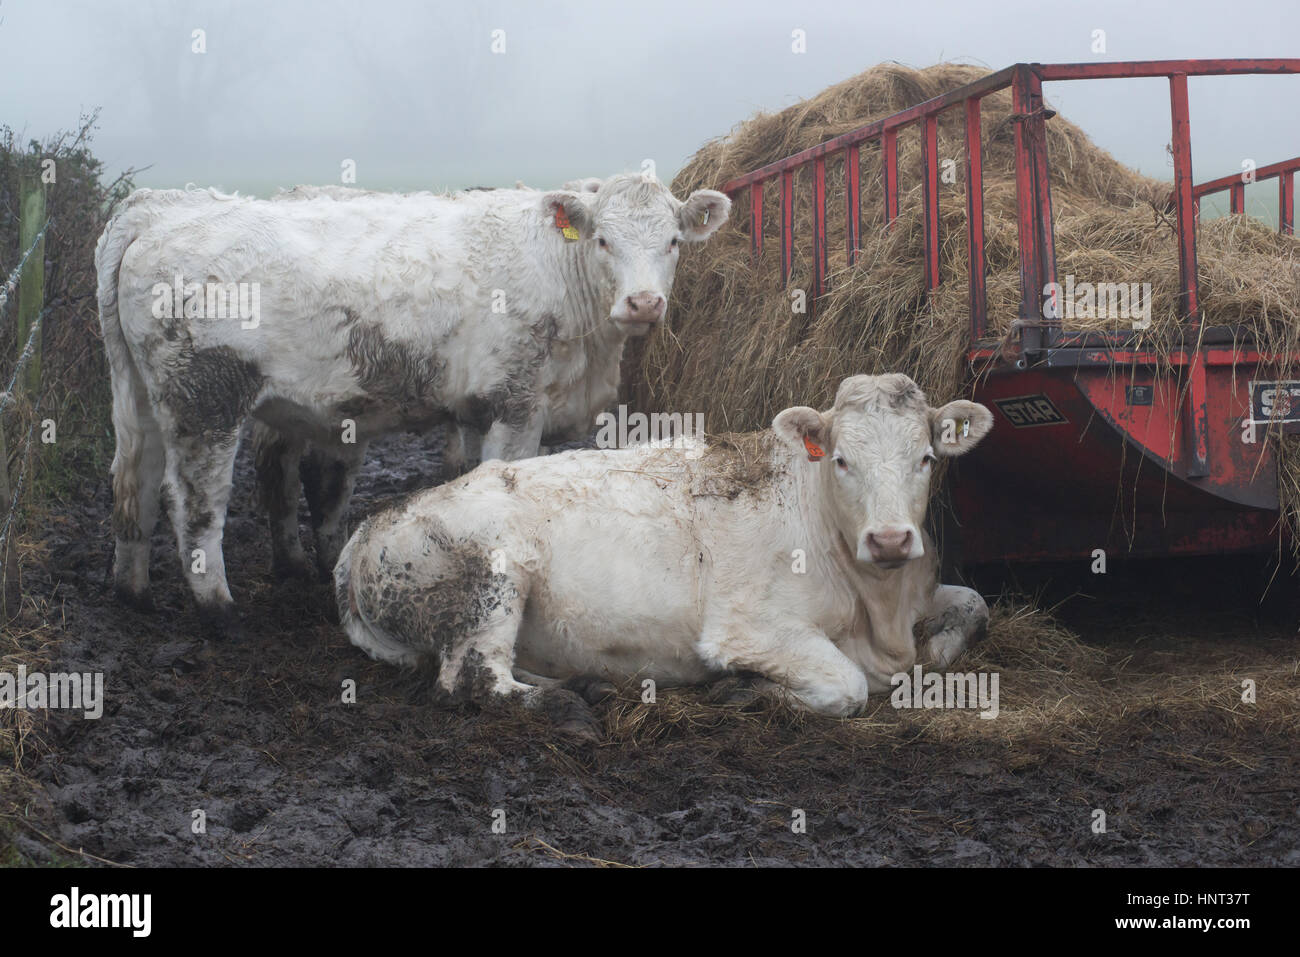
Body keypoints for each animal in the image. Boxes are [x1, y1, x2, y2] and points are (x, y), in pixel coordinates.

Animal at [96, 174, 730, 636]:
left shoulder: (477, 410)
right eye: (604, 241)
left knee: (136, 483)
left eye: (673, 243)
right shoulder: (517, 405)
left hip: (143, 401)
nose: (643, 303)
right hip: (206, 399)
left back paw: (133, 590)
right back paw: (220, 611)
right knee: (196, 504)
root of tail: (157, 209)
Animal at [333, 373, 993, 716]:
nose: (889, 538)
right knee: (474, 682)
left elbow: (975, 605)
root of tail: (365, 531)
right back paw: (571, 704)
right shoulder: (749, 628)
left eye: (926, 458)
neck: (880, 608)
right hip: (492, 581)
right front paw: (744, 690)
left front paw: (937, 645)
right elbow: (846, 687)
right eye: (841, 460)